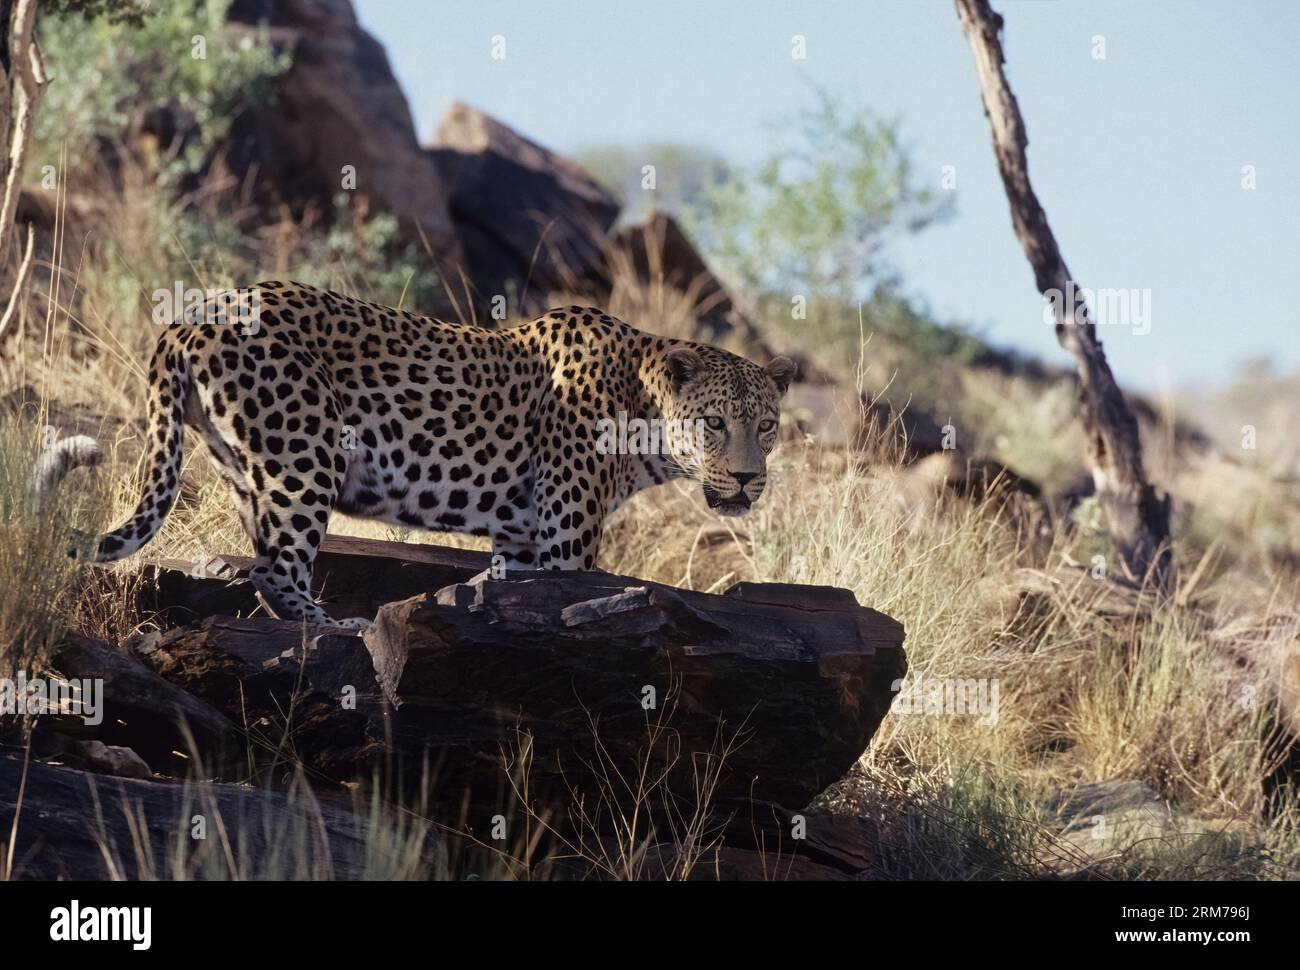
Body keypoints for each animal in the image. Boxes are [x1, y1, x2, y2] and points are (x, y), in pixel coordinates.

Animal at [37, 281, 795, 628]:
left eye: (767, 426)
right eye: (715, 424)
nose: (748, 481)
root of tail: (191, 316)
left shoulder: (523, 540)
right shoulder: (566, 539)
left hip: (246, 465)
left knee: (260, 561)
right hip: (304, 454)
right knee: (275, 568)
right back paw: (340, 627)